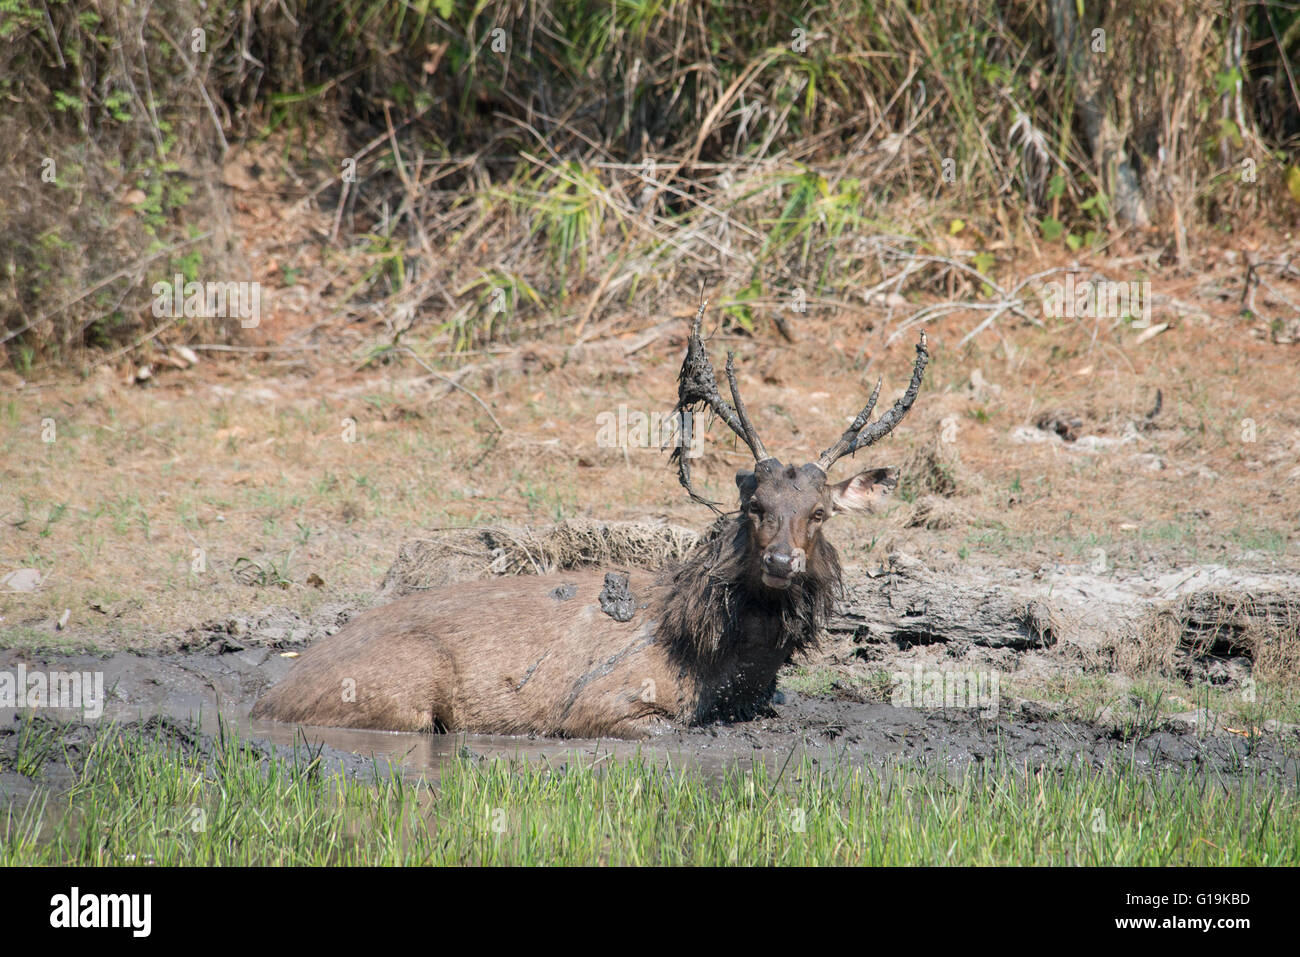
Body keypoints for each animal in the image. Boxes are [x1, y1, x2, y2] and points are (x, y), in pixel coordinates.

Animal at [251, 305, 928, 738]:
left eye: (820, 512)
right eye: (752, 504)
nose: (781, 561)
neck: (720, 660)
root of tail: (267, 697)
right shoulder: (606, 703)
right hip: (403, 689)